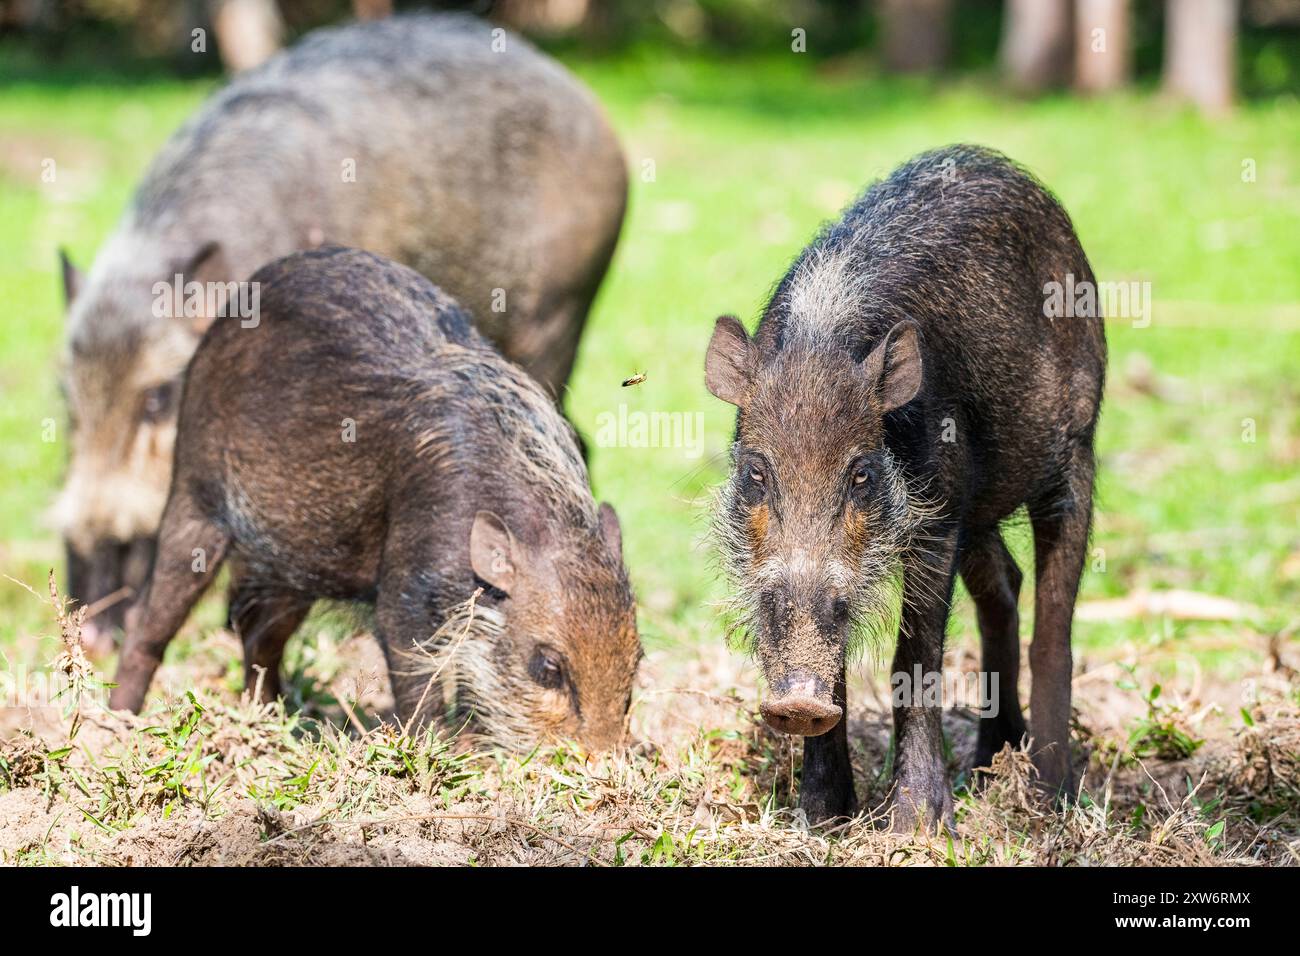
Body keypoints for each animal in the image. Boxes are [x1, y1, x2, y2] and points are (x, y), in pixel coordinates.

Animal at [108, 247, 641, 752]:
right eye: (548, 666)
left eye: (636, 665)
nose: (601, 761)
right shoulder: (406, 590)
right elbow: (417, 676)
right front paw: (440, 750)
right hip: (195, 499)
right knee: (148, 623)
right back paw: (118, 724)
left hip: (292, 563)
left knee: (259, 632)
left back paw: (269, 722)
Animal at [705, 145, 1106, 827]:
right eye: (757, 472)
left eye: (862, 473)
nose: (796, 704)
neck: (822, 342)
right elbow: (841, 662)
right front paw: (822, 817)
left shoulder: (938, 514)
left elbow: (914, 654)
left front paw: (919, 824)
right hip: (981, 507)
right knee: (1005, 587)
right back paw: (987, 765)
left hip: (1074, 448)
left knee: (1054, 622)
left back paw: (1049, 799)